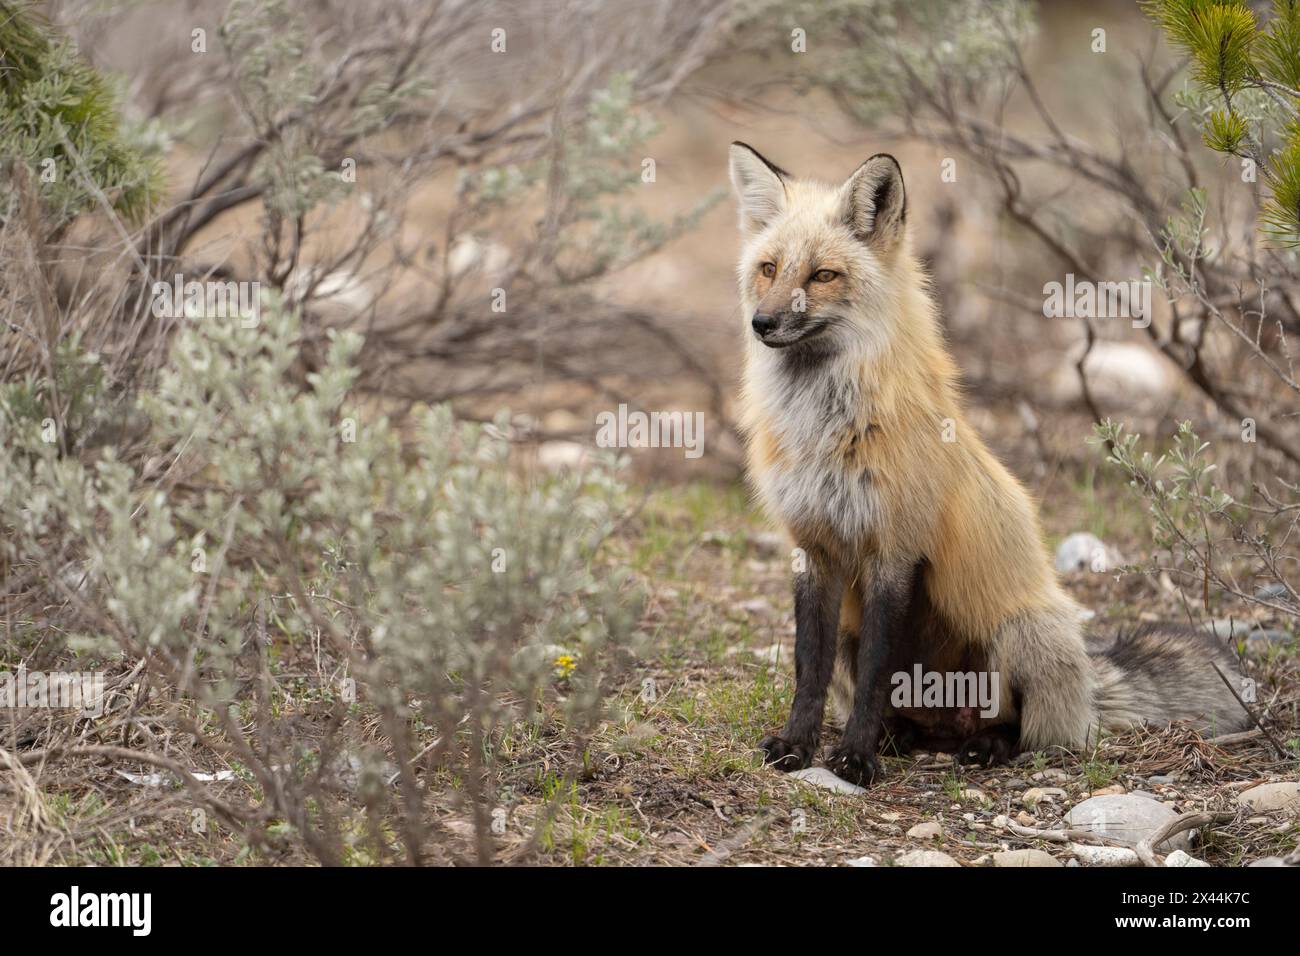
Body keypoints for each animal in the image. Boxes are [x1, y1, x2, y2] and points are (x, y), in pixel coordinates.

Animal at [727, 141, 1250, 786]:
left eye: (823, 275)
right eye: (769, 269)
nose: (763, 323)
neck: (827, 427)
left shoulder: (895, 550)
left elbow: (876, 673)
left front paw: (855, 758)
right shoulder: (812, 547)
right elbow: (809, 668)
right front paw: (798, 746)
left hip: (1016, 635)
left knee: (1027, 730)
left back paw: (983, 746)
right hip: (873, 637)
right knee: (904, 713)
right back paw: (900, 737)